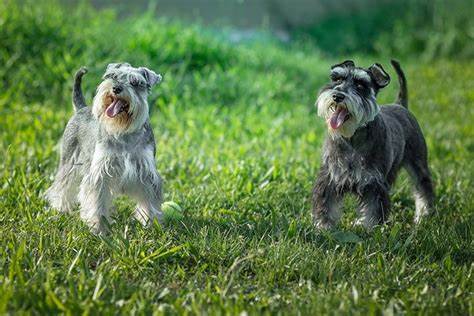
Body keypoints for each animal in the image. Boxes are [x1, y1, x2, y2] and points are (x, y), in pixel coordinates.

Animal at [45, 63, 163, 233]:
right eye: (113, 76)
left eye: (135, 82)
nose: (116, 88)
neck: (123, 131)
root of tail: (81, 108)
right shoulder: (100, 173)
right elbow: (96, 201)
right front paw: (99, 227)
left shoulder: (146, 173)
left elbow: (150, 201)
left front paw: (151, 224)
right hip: (69, 161)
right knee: (62, 185)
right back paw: (60, 208)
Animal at [312, 59, 436, 228]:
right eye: (337, 79)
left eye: (360, 85)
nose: (337, 95)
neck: (352, 138)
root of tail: (400, 105)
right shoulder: (330, 177)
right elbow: (326, 204)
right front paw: (323, 226)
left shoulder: (374, 183)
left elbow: (373, 209)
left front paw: (370, 229)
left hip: (418, 162)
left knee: (423, 186)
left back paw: (424, 214)